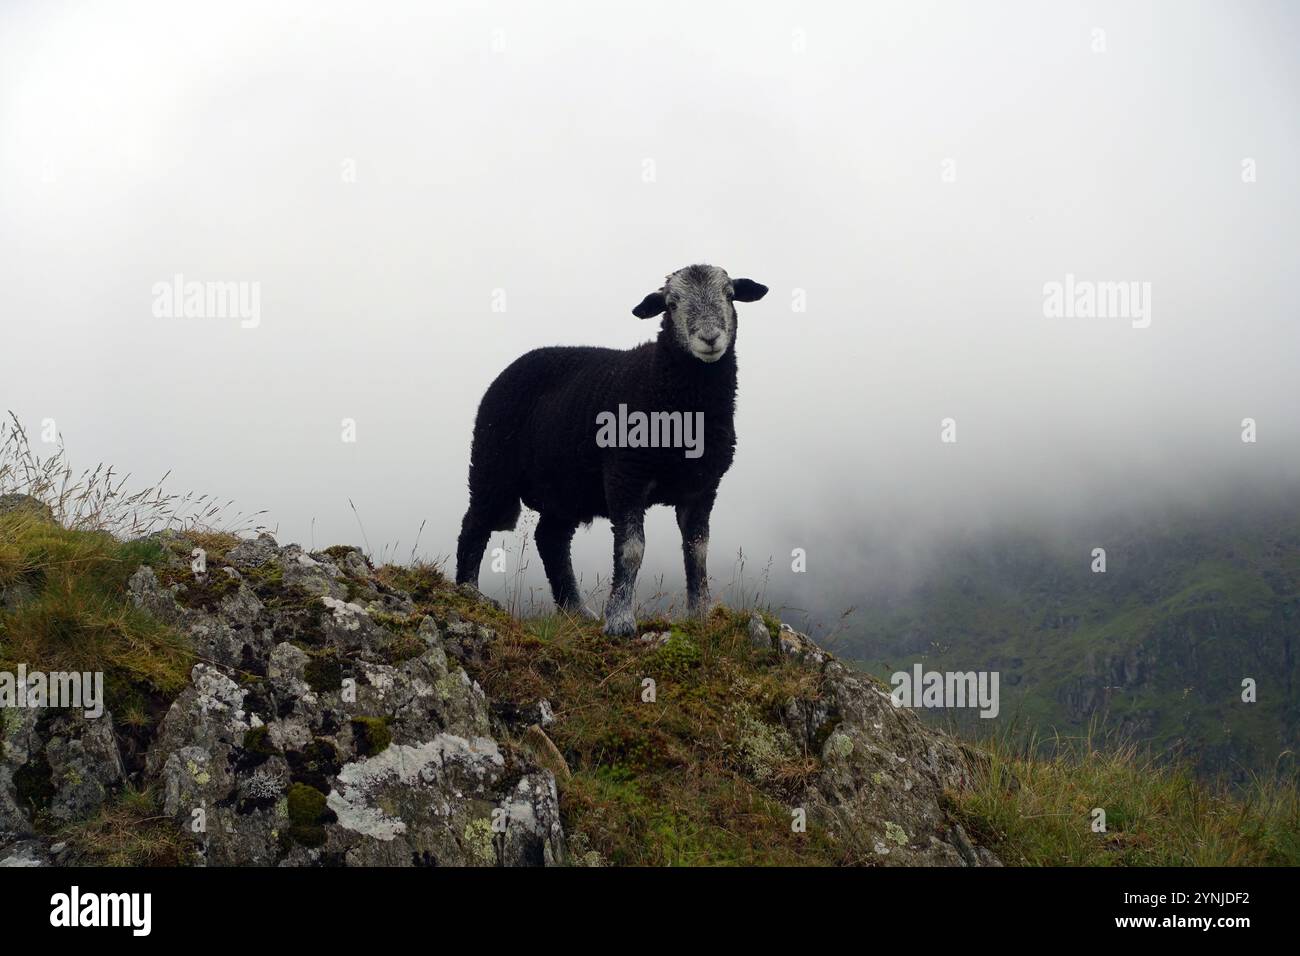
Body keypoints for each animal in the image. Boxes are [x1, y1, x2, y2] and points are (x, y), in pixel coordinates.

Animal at [455, 264, 769, 636]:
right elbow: (631, 550)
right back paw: (468, 592)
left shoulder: (702, 487)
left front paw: (701, 617)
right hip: (491, 465)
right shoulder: (625, 475)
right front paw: (620, 620)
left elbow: (697, 551)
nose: (709, 338)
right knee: (475, 523)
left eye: (729, 295)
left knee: (551, 539)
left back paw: (576, 610)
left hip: (565, 489)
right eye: (672, 303)